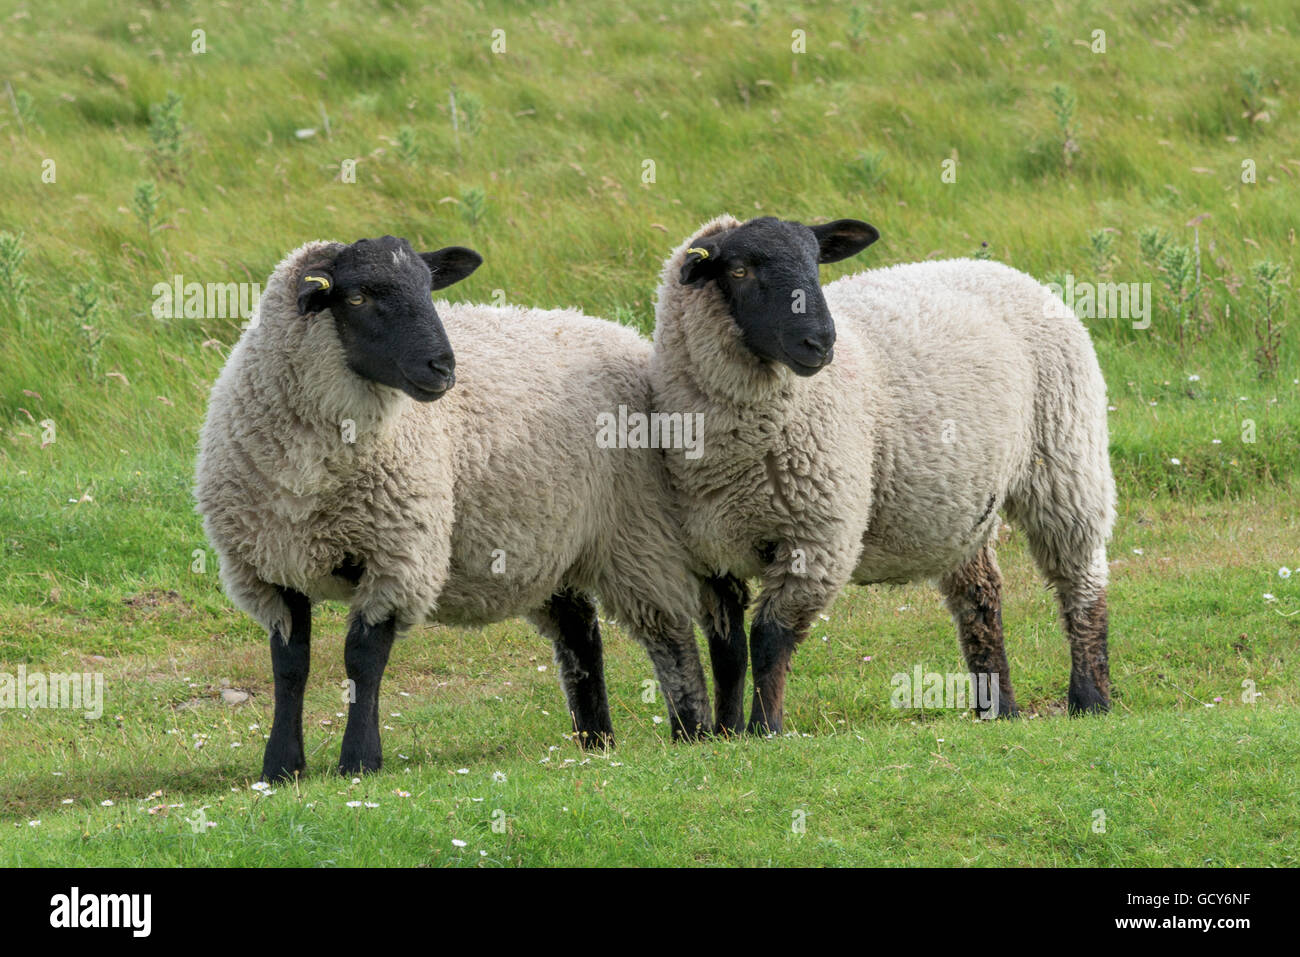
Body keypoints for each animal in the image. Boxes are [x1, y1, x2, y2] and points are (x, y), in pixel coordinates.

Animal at [196, 235, 712, 780]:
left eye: (428, 288)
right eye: (356, 298)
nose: (443, 367)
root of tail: (618, 332)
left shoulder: (399, 552)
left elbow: (363, 658)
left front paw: (359, 761)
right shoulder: (268, 567)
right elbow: (290, 665)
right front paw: (280, 767)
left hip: (636, 528)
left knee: (669, 633)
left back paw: (691, 730)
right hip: (549, 540)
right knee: (580, 636)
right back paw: (596, 742)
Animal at [651, 214, 1116, 734]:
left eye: (815, 262)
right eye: (738, 271)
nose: (820, 342)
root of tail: (998, 268)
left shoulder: (819, 539)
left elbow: (770, 638)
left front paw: (765, 728)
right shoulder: (708, 554)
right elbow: (727, 649)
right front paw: (727, 732)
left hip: (1066, 462)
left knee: (1081, 579)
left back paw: (1090, 698)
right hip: (965, 503)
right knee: (979, 596)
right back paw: (998, 708)